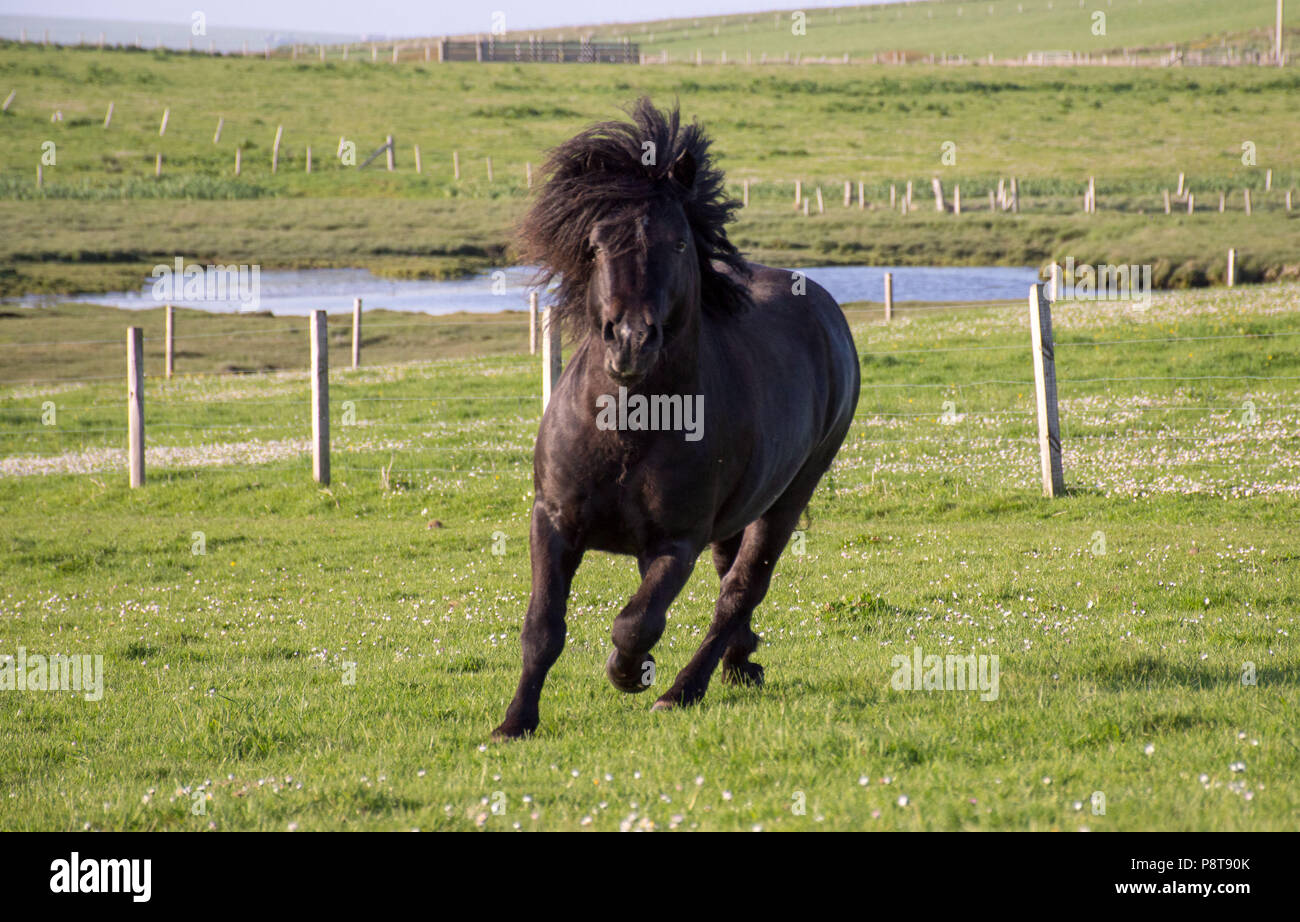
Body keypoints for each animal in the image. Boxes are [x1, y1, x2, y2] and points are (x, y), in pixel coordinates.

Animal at [491, 99, 859, 740]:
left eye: (681, 244)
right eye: (595, 244)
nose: (632, 341)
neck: (629, 428)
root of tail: (825, 309)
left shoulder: (676, 542)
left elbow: (636, 622)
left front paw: (627, 672)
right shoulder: (553, 520)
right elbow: (542, 628)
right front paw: (515, 723)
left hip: (788, 498)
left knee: (740, 589)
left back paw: (682, 690)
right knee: (730, 582)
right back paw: (741, 662)